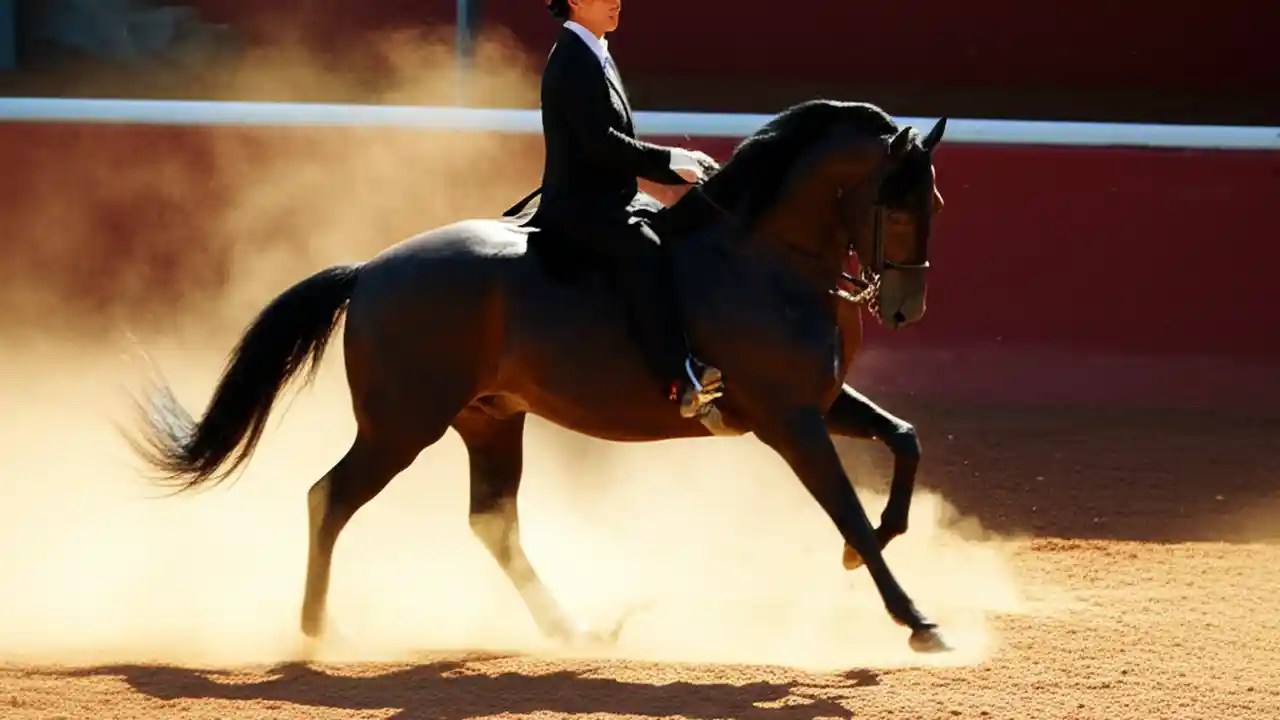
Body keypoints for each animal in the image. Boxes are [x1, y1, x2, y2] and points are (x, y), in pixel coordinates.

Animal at [125, 99, 951, 654]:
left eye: (933, 199)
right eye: (895, 202)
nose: (905, 308)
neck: (764, 258)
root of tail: (369, 272)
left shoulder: (818, 402)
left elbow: (905, 440)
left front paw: (872, 550)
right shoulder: (789, 420)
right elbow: (845, 508)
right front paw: (917, 620)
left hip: (490, 418)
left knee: (492, 521)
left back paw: (573, 627)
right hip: (402, 426)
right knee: (330, 498)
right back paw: (321, 630)